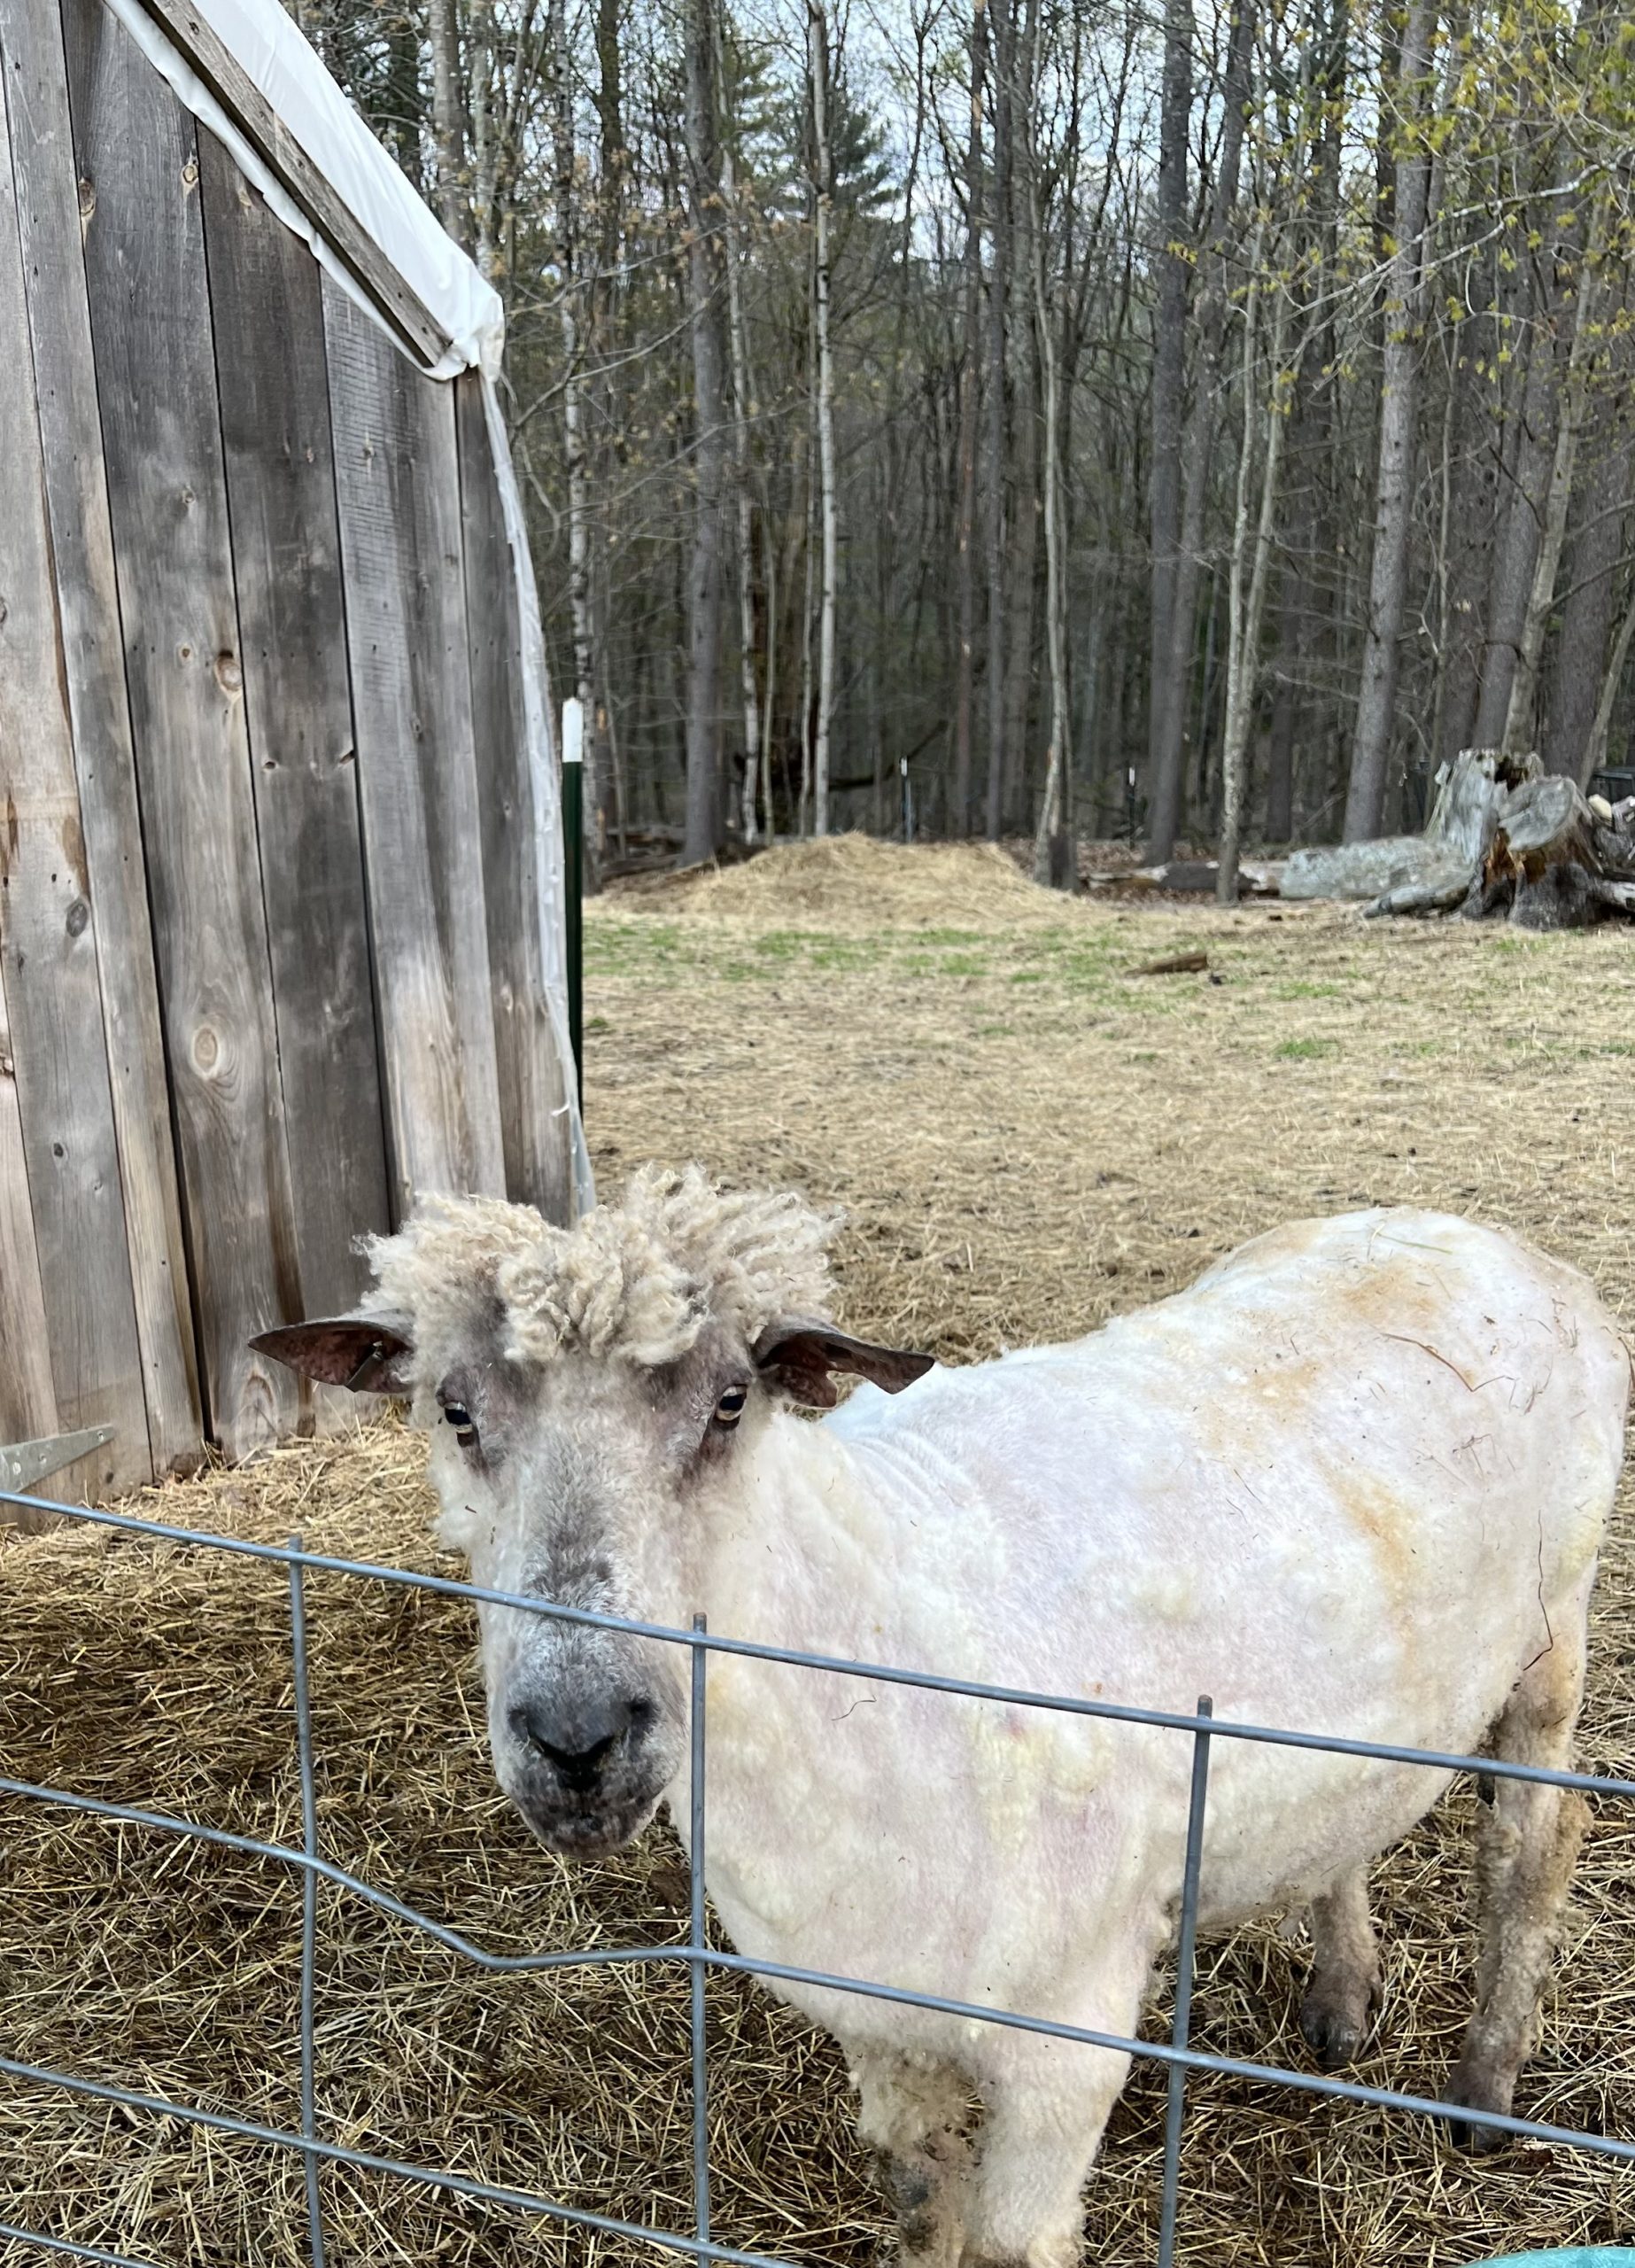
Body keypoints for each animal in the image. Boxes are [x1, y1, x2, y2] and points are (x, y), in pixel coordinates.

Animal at [254, 1168, 1629, 2268]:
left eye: (731, 1404)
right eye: (453, 1409)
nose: (578, 1737)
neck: (865, 1642)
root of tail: (1473, 1230)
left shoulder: (1069, 2032)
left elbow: (1015, 2243)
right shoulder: (879, 2018)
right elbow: (923, 2214)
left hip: (1553, 1629)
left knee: (1529, 1850)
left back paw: (1483, 2085)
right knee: (1348, 1830)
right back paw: (1340, 2004)